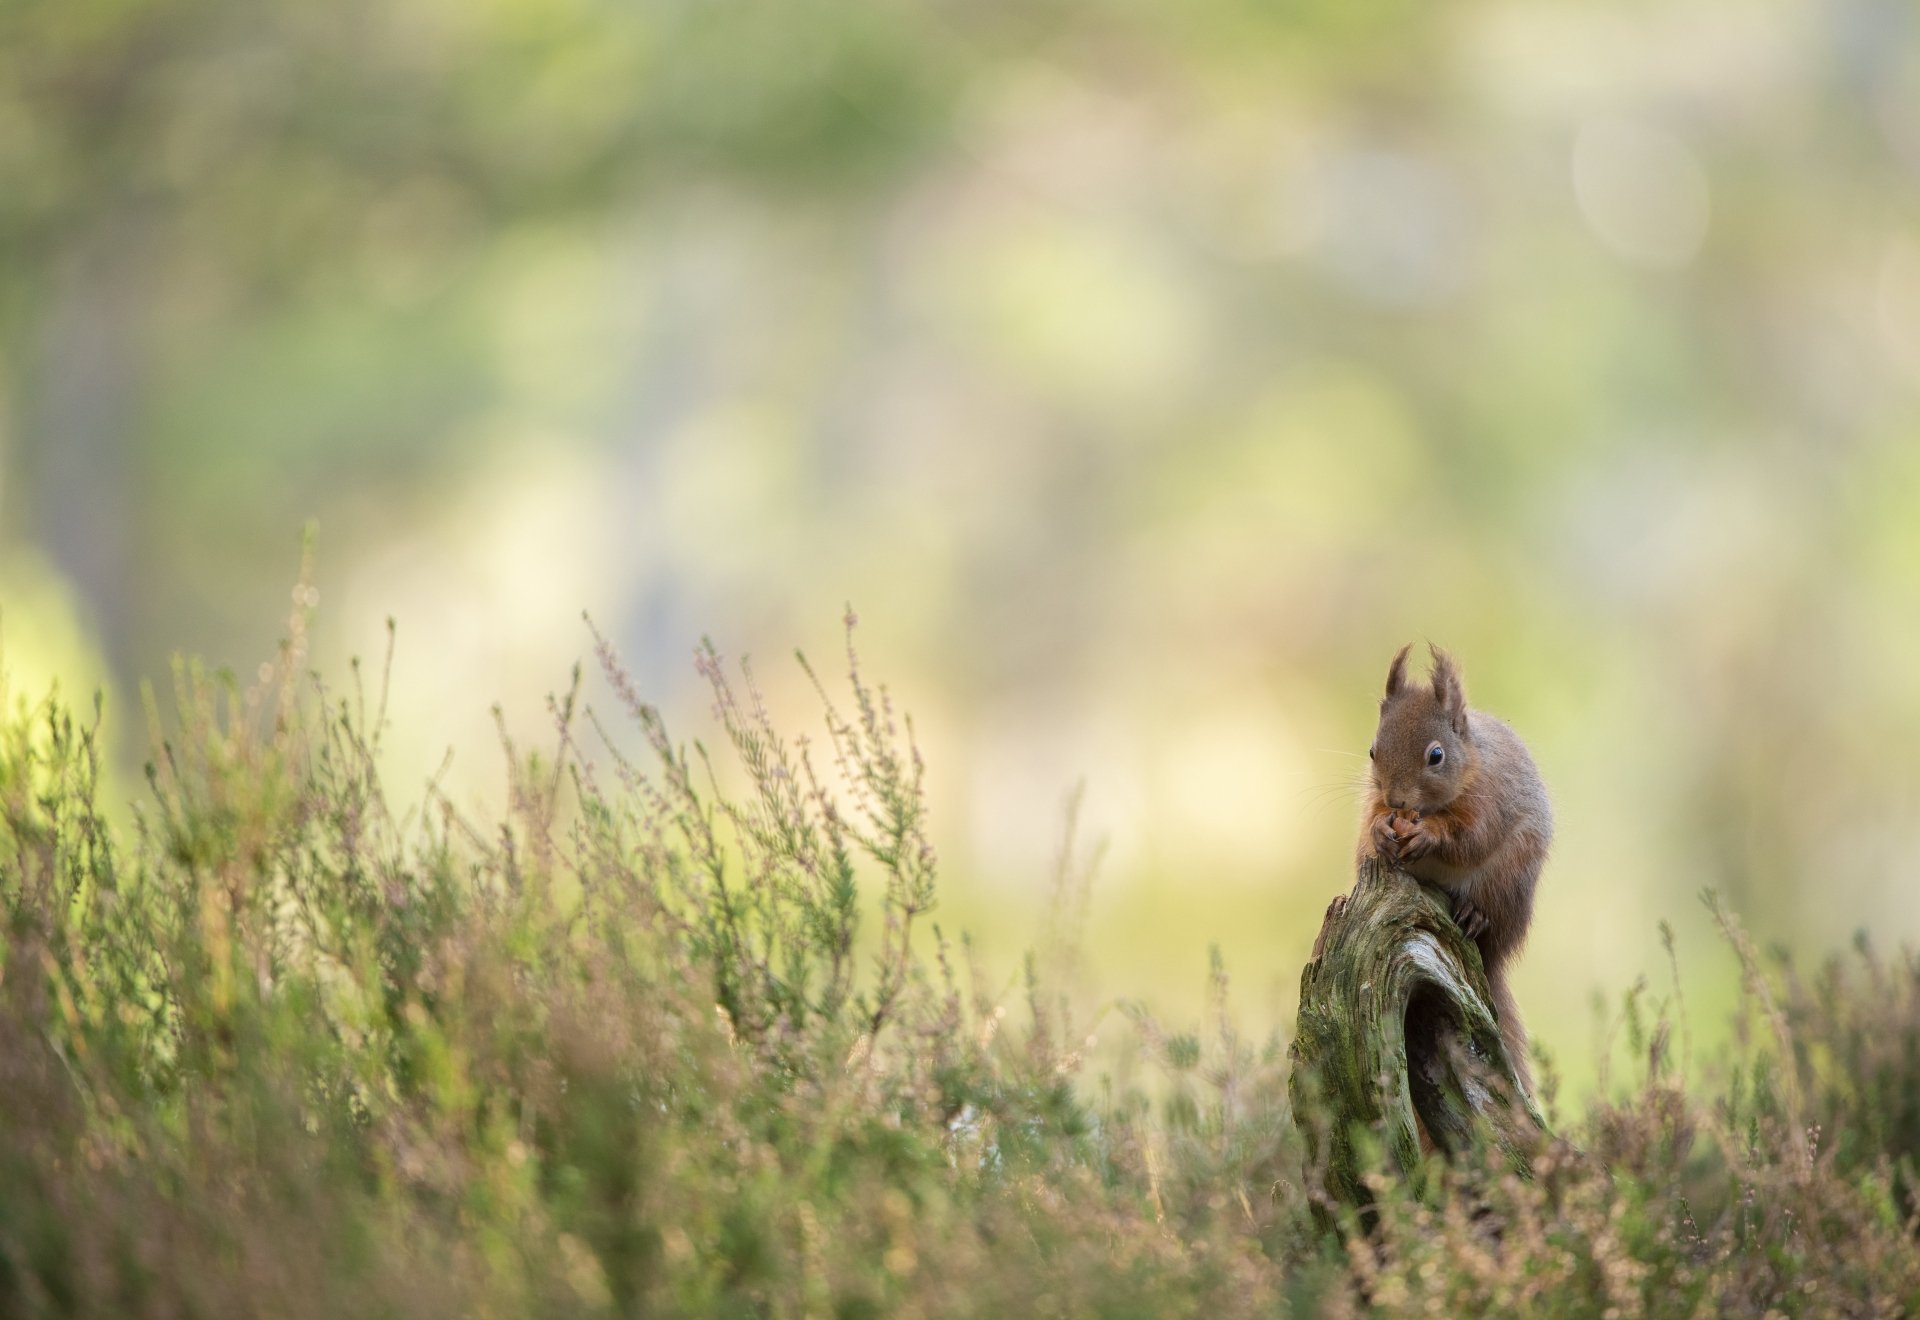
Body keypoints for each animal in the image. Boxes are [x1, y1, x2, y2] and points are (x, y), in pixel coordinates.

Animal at [1356, 643, 1552, 1094]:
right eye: (1373, 751)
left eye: (1436, 755)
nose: (1396, 800)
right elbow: (1370, 819)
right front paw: (1380, 829)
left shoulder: (1492, 797)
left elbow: (1470, 838)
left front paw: (1430, 835)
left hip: (1508, 881)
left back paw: (1474, 915)